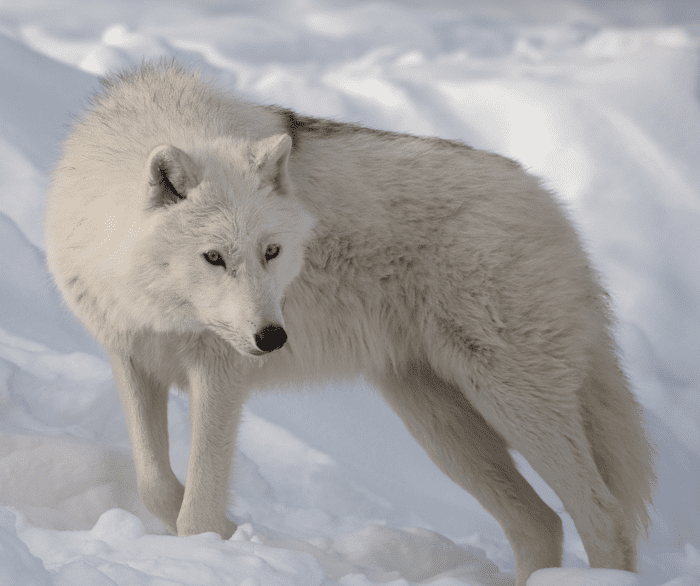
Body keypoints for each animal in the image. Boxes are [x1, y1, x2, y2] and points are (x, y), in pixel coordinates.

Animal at [45, 61, 655, 585]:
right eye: (214, 257)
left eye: (272, 252)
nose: (273, 337)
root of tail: (549, 202)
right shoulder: (130, 358)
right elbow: (154, 487)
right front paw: (219, 532)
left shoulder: (220, 376)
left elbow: (197, 507)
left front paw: (214, 543)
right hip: (440, 424)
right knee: (540, 522)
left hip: (511, 401)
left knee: (603, 516)